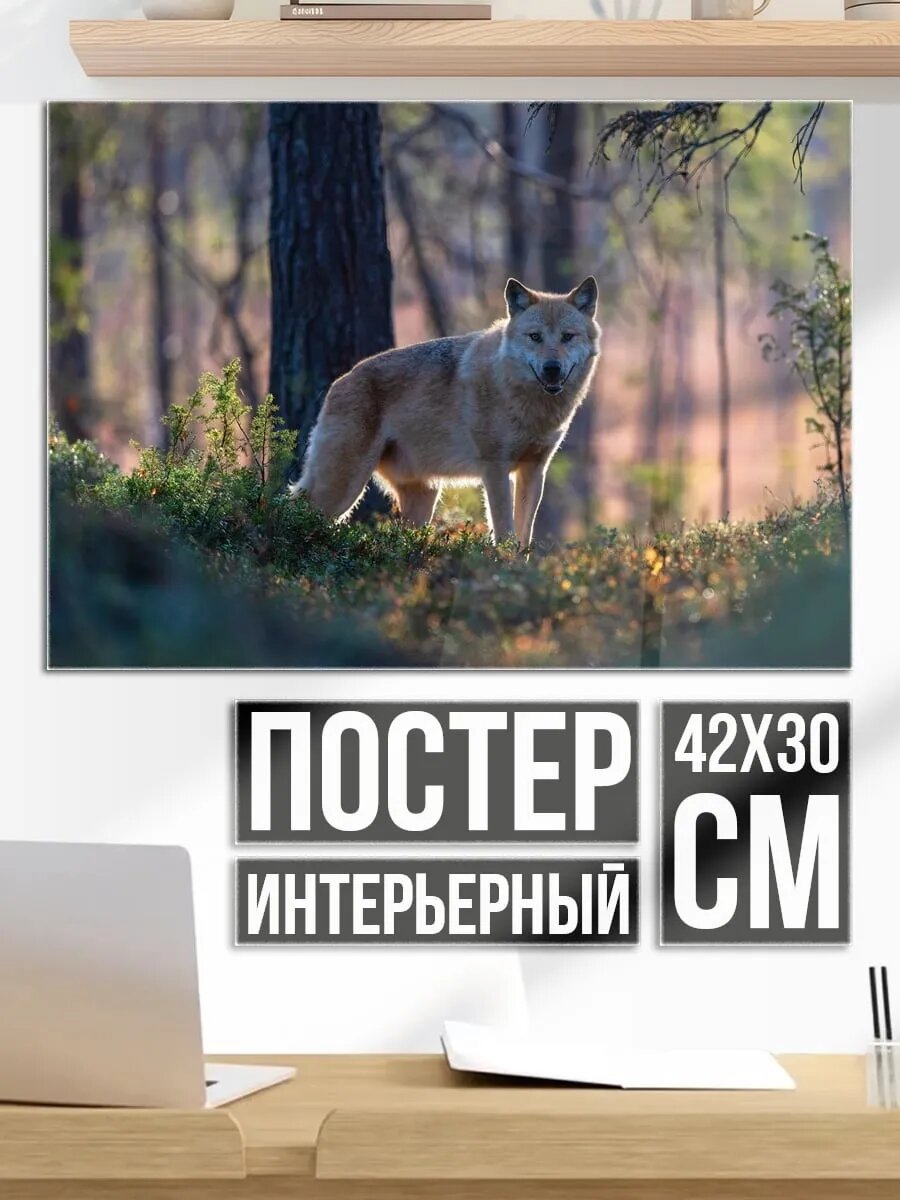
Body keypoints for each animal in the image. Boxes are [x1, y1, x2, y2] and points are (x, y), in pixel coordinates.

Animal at [294, 276, 602, 545]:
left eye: (567, 337)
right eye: (535, 337)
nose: (552, 368)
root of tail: (339, 381)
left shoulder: (534, 470)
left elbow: (524, 536)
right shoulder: (495, 468)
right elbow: (504, 531)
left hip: (422, 497)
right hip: (342, 489)